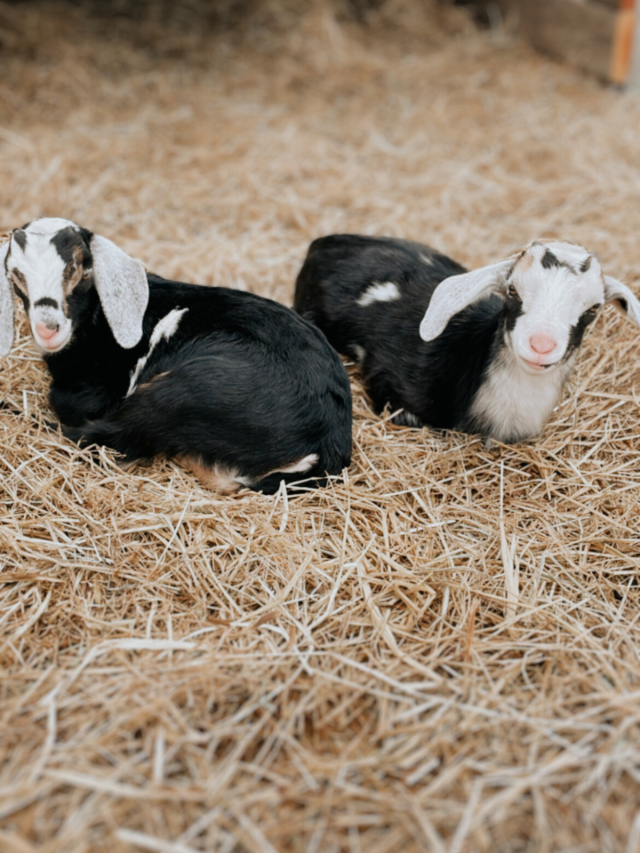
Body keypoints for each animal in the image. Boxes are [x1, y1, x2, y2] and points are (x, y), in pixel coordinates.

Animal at [0, 218, 352, 493]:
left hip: (186, 394)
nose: (48, 328)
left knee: (106, 438)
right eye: (15, 274)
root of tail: (326, 443)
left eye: (83, 269)